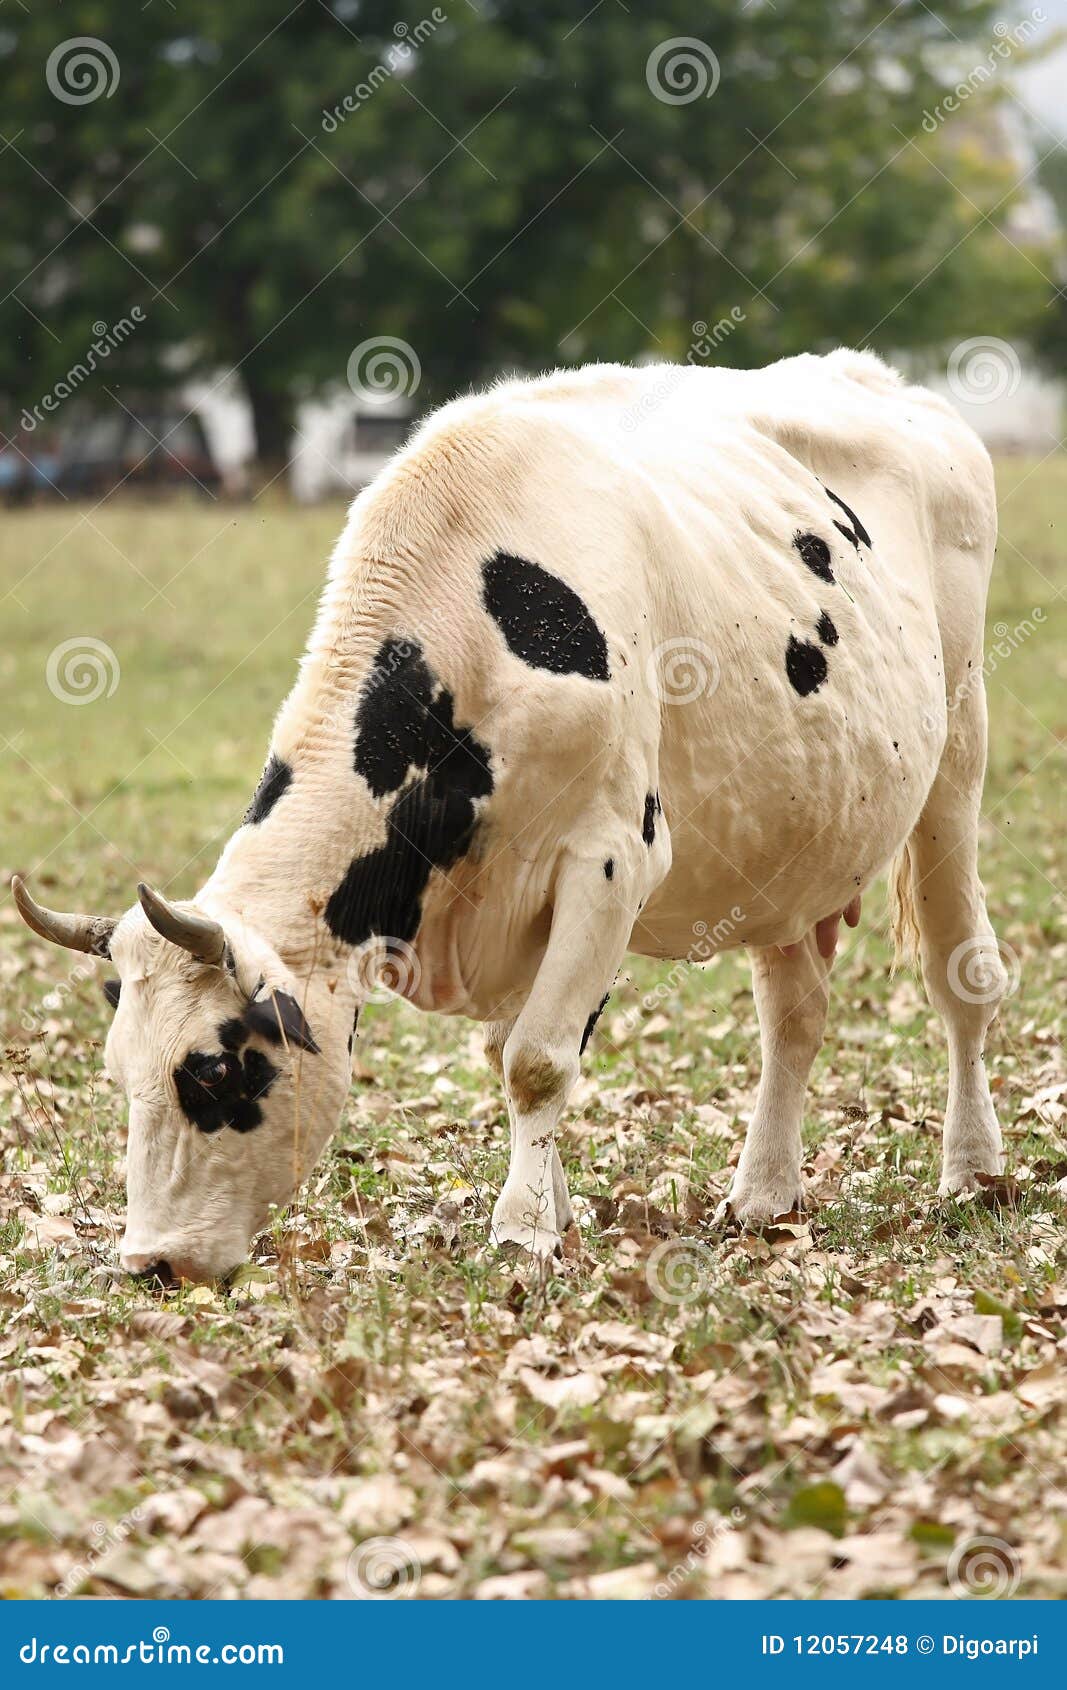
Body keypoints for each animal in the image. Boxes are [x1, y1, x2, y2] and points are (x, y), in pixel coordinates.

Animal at [13, 349, 1009, 1284]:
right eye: (118, 1073)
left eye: (212, 1069)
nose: (150, 1262)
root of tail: (875, 379)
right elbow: (510, 1055)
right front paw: (554, 1213)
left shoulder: (610, 862)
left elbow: (536, 1060)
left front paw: (521, 1230)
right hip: (788, 839)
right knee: (792, 1014)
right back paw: (765, 1192)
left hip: (955, 756)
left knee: (961, 977)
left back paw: (973, 1172)